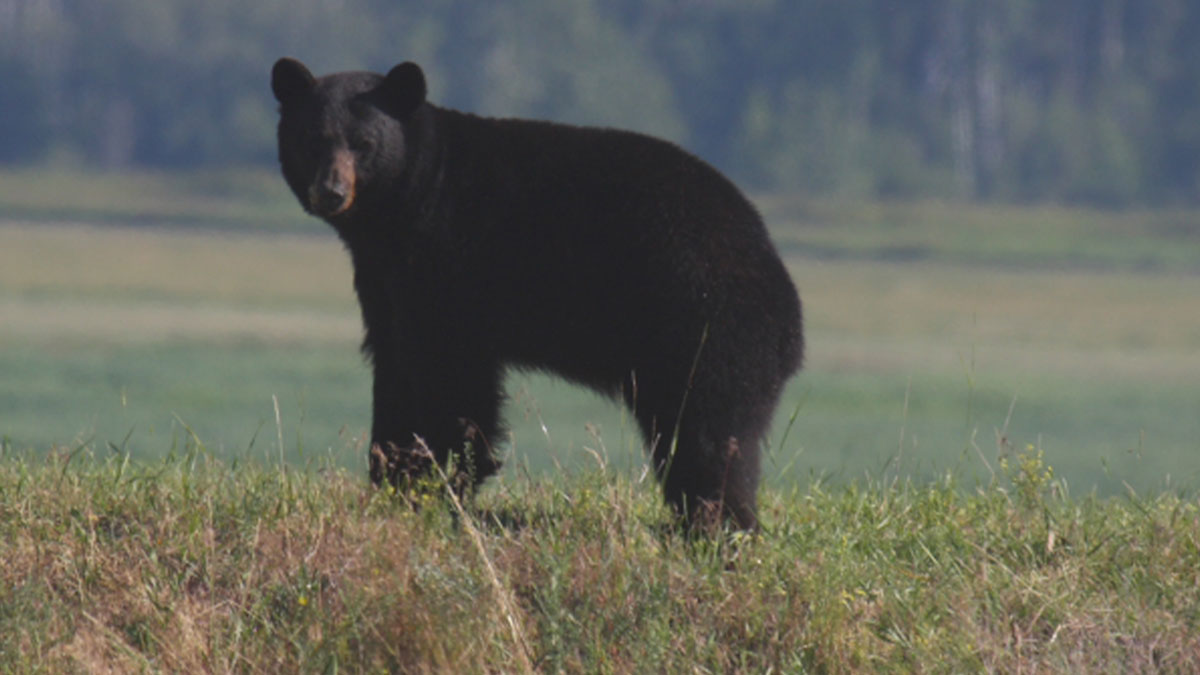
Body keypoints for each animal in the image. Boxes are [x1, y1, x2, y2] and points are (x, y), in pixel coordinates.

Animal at [271, 57, 803, 530]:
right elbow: (397, 368)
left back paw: (717, 527)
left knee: (709, 438)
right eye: (312, 140)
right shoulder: (386, 281)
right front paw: (393, 477)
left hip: (705, 333)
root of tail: (788, 312)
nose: (331, 191)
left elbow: (452, 378)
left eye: (363, 144)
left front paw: (434, 481)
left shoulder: (450, 266)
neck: (408, 204)